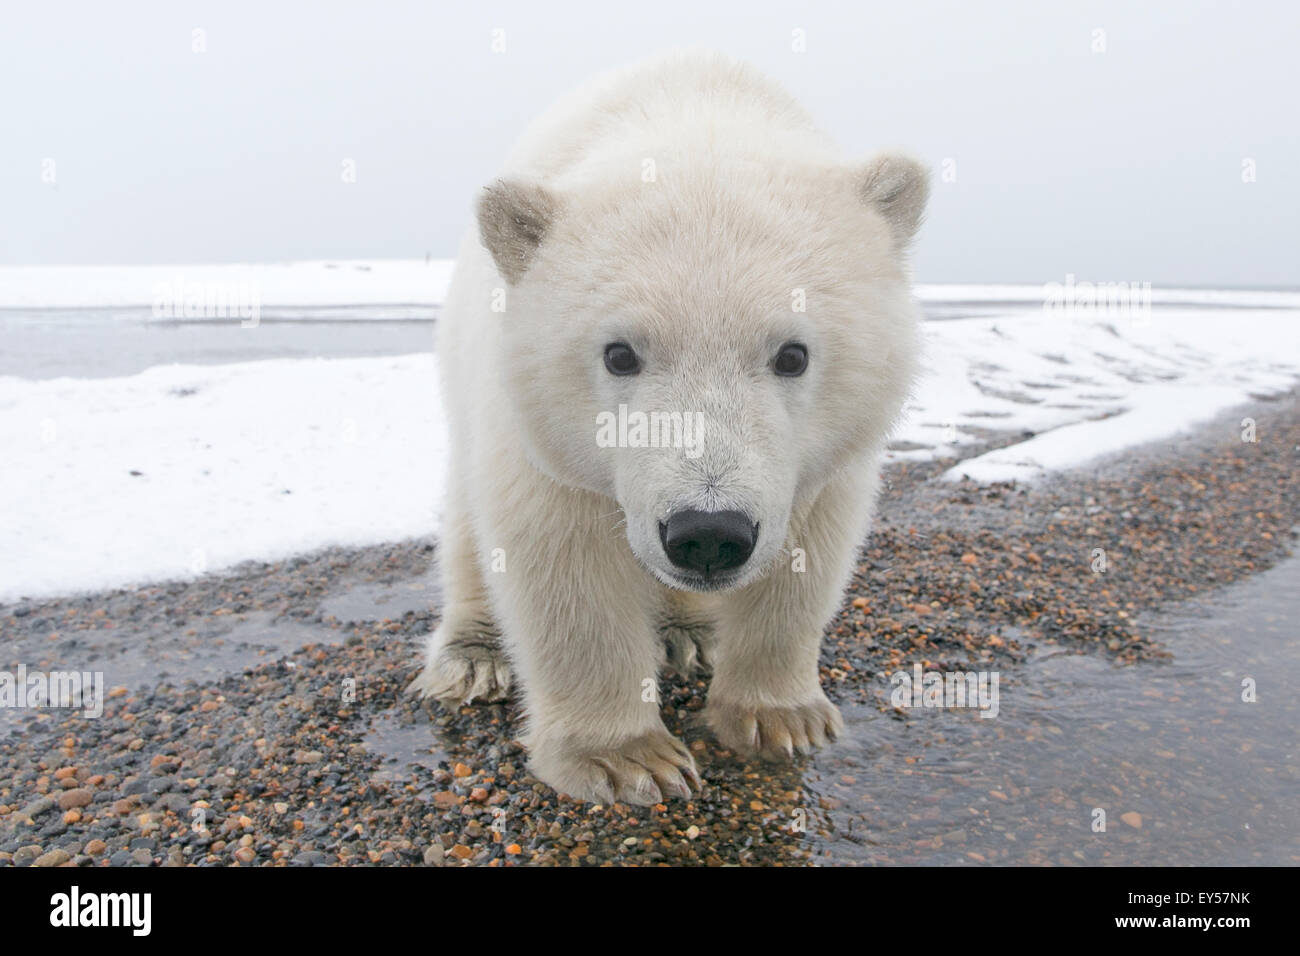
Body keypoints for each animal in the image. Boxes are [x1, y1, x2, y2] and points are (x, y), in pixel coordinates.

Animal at [409, 50, 928, 806]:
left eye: (793, 353)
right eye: (620, 353)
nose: (708, 532)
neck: (691, 105)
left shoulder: (822, 463)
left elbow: (806, 555)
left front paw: (782, 718)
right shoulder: (538, 437)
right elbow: (564, 564)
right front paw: (626, 758)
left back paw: (688, 632)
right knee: (468, 528)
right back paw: (472, 655)